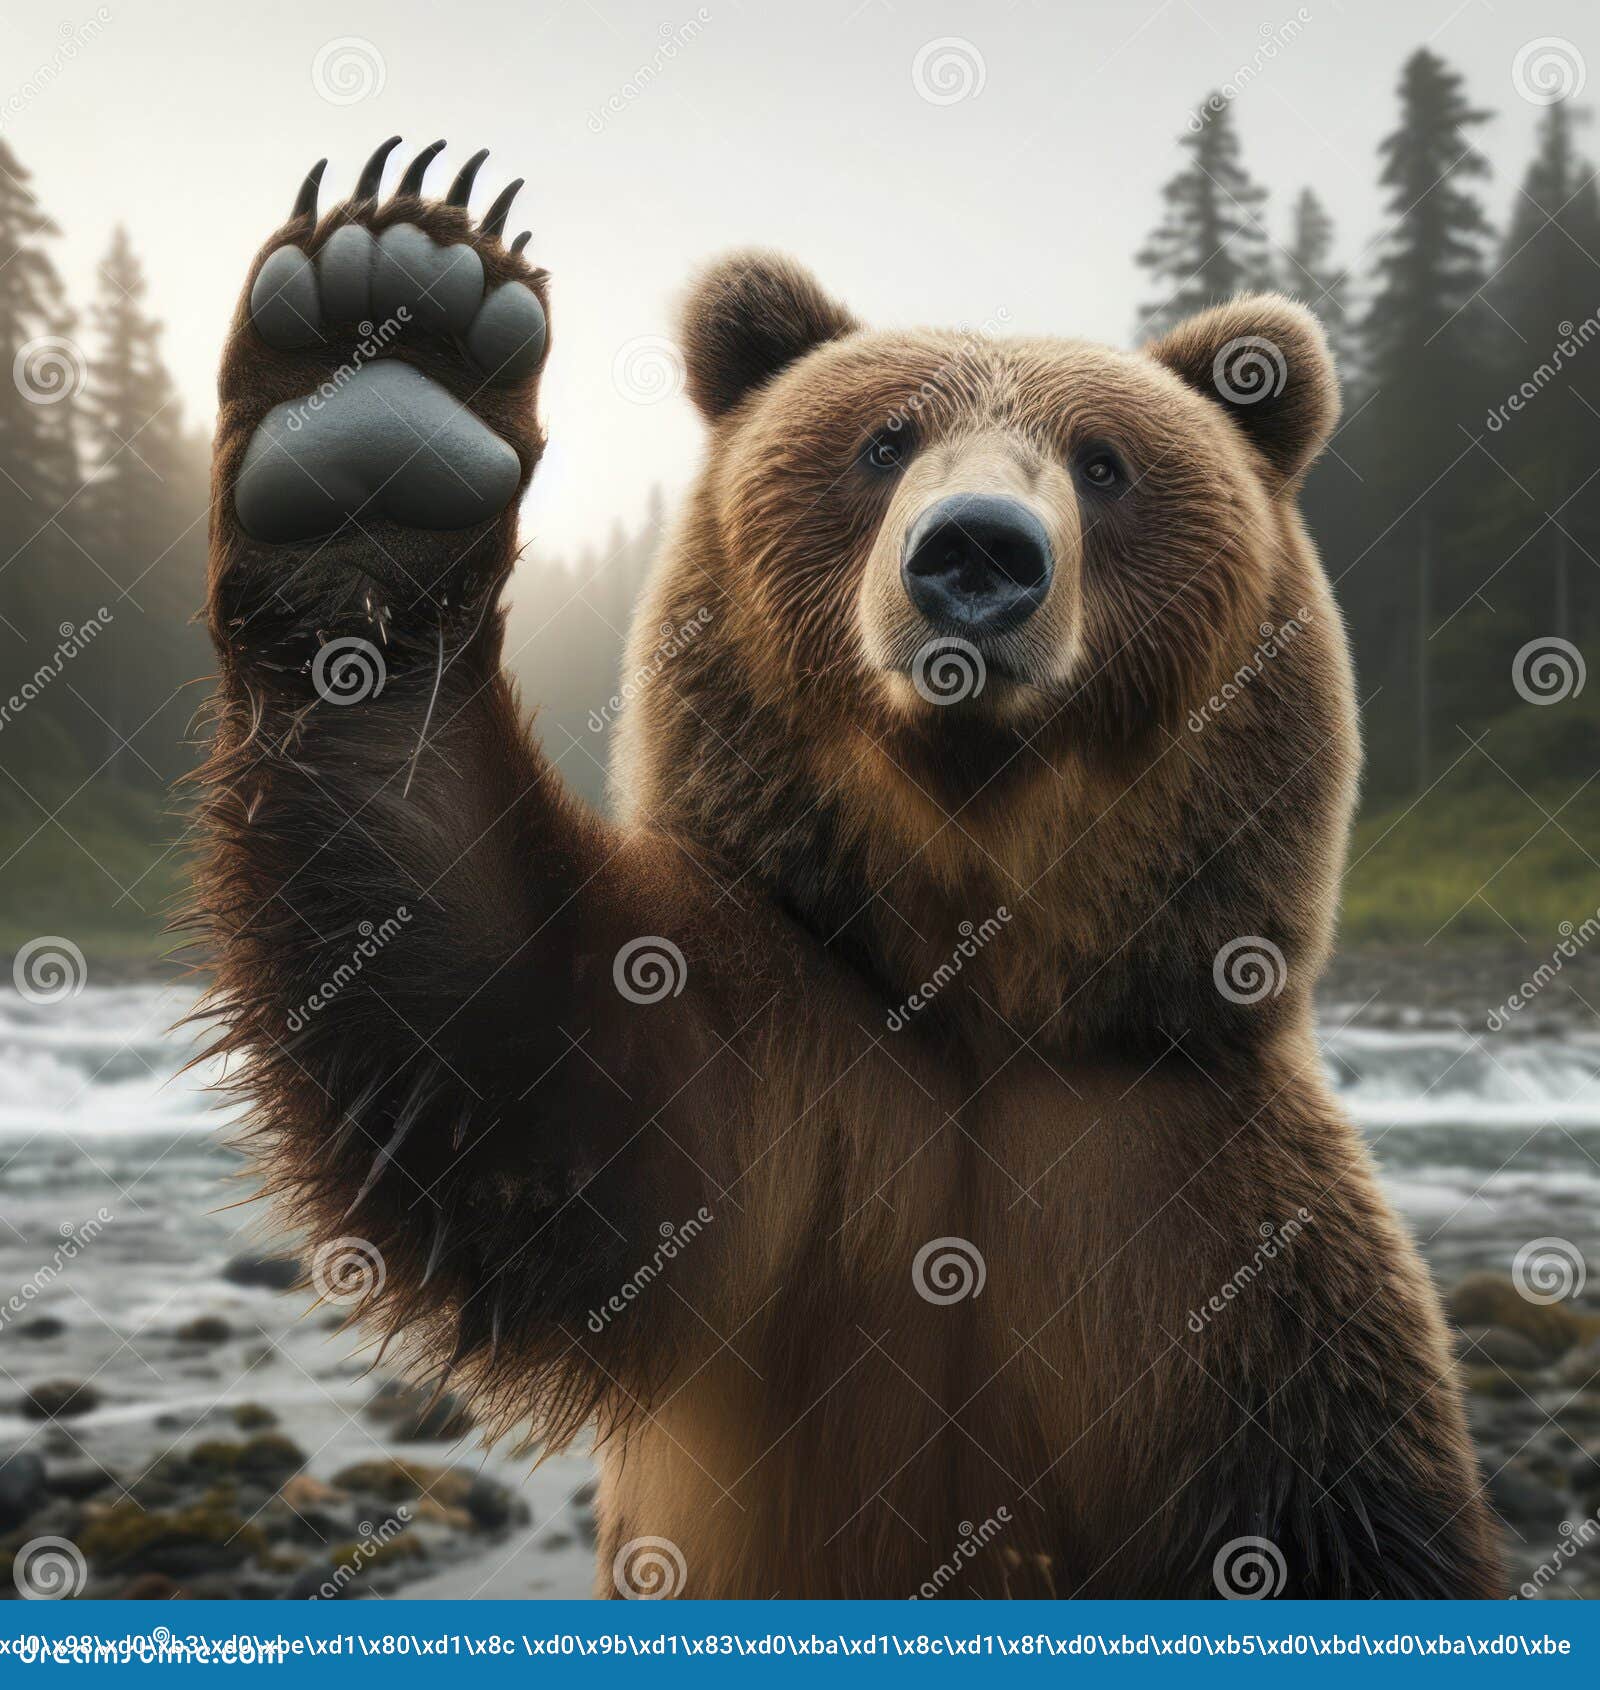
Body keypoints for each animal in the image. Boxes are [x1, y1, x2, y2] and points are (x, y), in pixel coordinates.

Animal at [191, 138, 1505, 1600]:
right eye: (884, 442)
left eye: (1102, 461)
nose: (978, 553)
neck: (980, 992)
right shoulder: (782, 1075)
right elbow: (500, 1056)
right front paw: (387, 374)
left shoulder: (1227, 1245)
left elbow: (1344, 1527)